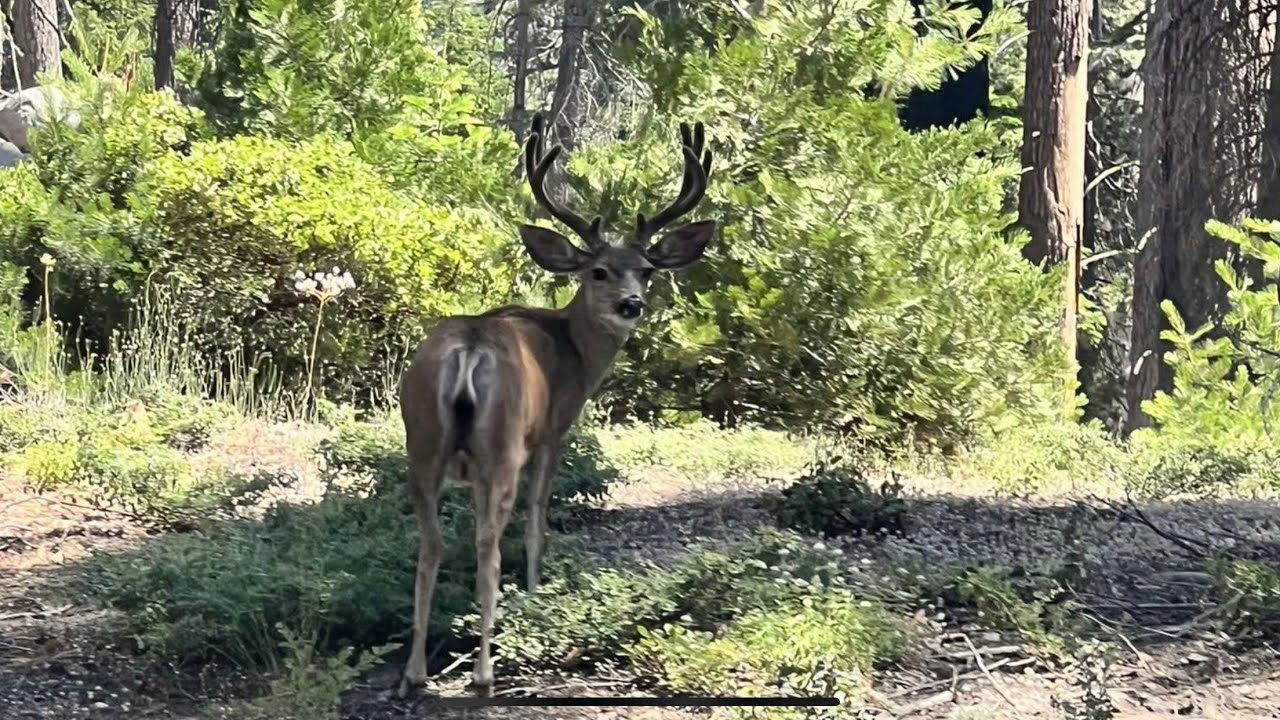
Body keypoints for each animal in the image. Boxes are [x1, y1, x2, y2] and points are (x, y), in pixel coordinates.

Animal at [395, 113, 717, 698]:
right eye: (599, 271)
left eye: (647, 270)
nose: (631, 305)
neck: (574, 349)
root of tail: (469, 347)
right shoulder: (554, 430)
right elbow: (538, 520)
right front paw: (535, 592)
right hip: (500, 444)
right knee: (488, 542)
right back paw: (483, 676)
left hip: (422, 442)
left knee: (430, 544)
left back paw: (415, 673)